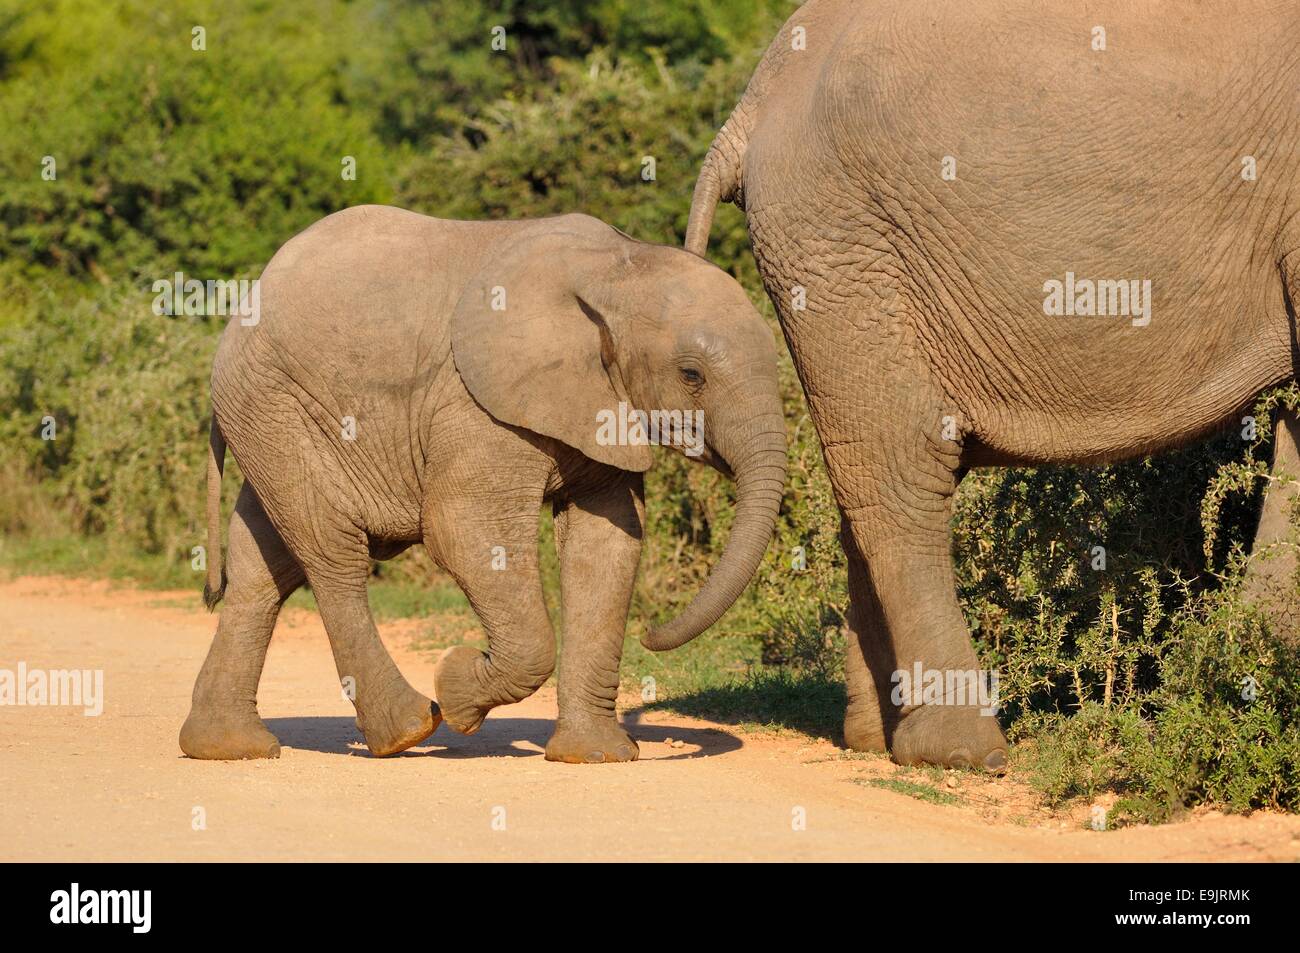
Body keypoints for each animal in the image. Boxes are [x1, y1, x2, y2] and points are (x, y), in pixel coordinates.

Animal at [179, 206, 786, 763]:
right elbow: (465, 532)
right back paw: (408, 730)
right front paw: (456, 689)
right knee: (332, 552)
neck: (615, 267)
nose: (652, 632)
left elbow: (607, 545)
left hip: (268, 414)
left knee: (264, 565)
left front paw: (597, 757)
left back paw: (228, 747)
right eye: (691, 375)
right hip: (274, 403)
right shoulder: (473, 402)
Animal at [676, 0, 1300, 769]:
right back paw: (960, 750)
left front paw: (1250, 685)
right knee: (900, 468)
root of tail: (753, 103)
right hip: (842, 241)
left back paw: (874, 739)